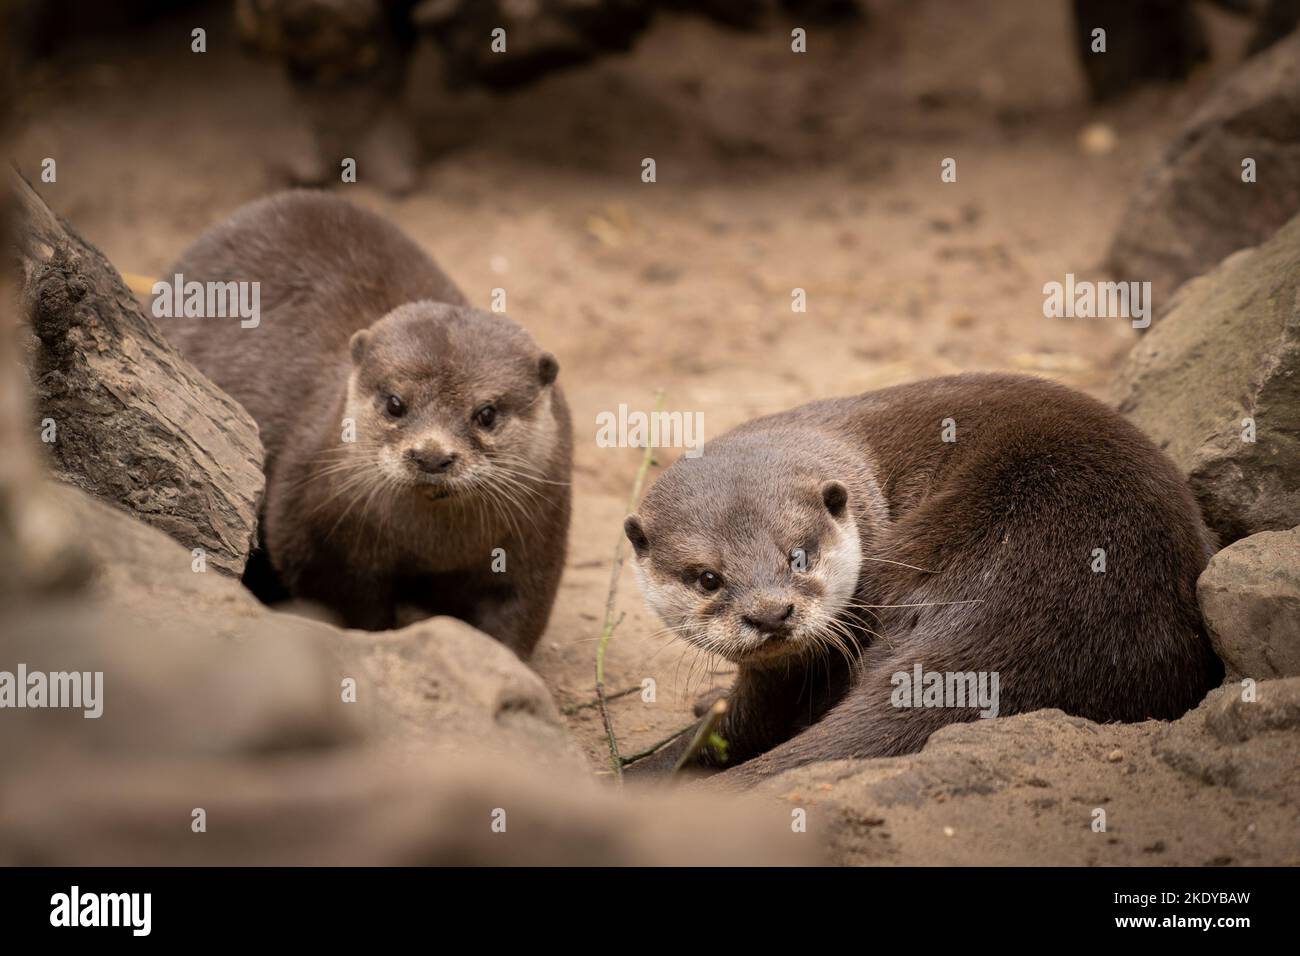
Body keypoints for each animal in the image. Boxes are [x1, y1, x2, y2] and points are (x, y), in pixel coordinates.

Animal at [158, 191, 571, 655]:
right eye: (395, 403)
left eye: (486, 413)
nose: (431, 455)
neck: (432, 549)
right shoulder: (313, 527)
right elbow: (348, 605)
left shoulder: (540, 536)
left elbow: (518, 614)